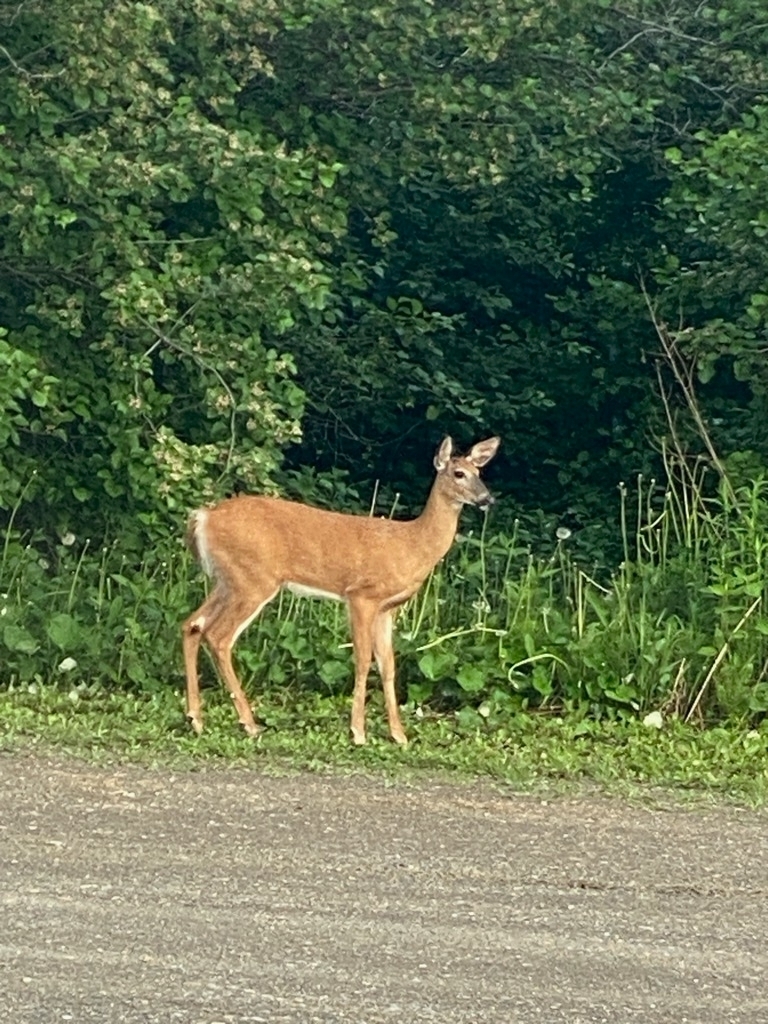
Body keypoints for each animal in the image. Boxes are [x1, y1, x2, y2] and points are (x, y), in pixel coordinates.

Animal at [182, 435, 500, 746]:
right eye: (458, 473)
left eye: (479, 472)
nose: (487, 498)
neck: (413, 545)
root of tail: (203, 517)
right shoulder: (361, 595)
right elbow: (362, 660)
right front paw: (358, 732)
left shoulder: (387, 609)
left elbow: (388, 665)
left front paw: (399, 735)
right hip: (253, 580)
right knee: (218, 636)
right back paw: (248, 723)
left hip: (228, 581)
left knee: (192, 624)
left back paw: (196, 719)